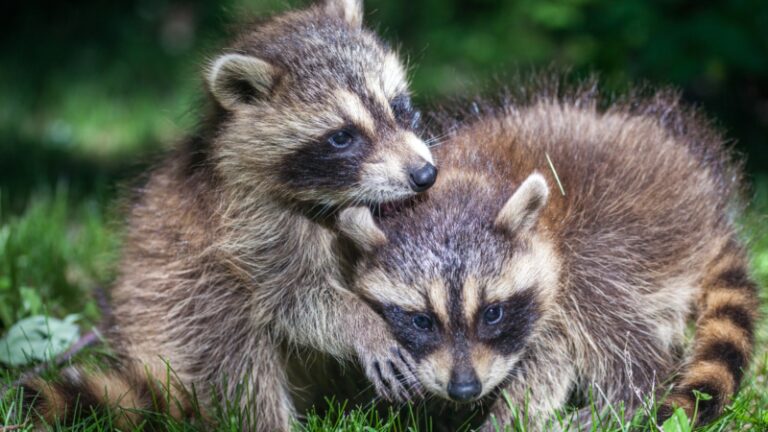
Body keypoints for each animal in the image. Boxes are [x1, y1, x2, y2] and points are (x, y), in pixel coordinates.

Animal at [21, 0, 434, 430]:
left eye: (398, 106)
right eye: (342, 137)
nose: (424, 175)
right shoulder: (251, 225)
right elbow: (293, 299)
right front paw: (363, 324)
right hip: (177, 309)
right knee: (234, 344)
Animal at [338, 86, 759, 430]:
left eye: (493, 313)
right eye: (421, 321)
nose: (464, 389)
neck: (468, 178)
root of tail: (711, 208)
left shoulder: (558, 268)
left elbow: (552, 359)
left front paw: (509, 417)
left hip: (633, 234)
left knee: (615, 324)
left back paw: (629, 396)